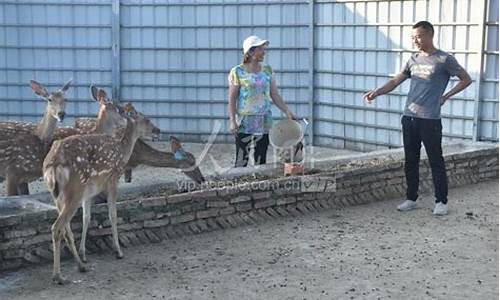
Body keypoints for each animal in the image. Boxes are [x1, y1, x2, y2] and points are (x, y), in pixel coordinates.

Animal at [44, 102, 160, 284]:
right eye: (147, 119)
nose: (158, 130)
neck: (123, 152)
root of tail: (53, 164)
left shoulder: (89, 193)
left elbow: (86, 218)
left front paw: (84, 254)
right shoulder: (112, 180)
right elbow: (112, 215)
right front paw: (118, 251)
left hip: (57, 194)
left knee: (65, 229)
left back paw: (80, 265)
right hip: (74, 190)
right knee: (57, 227)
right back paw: (58, 276)